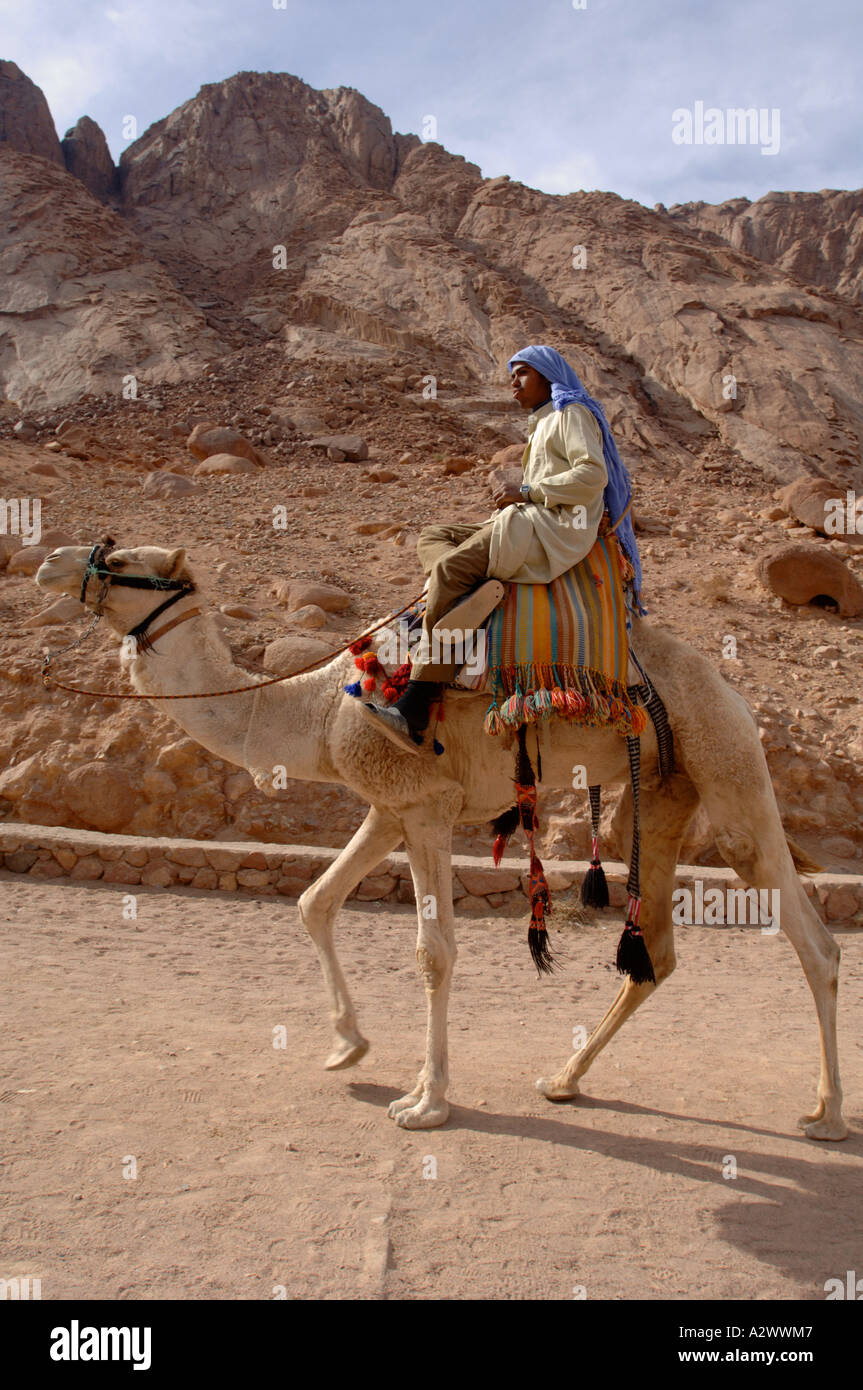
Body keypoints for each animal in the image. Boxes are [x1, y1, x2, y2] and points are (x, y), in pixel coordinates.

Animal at [35, 540, 848, 1139]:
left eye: (118, 557)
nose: (48, 562)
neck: (313, 710)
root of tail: (732, 692)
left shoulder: (425, 805)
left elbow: (433, 953)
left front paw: (425, 1102)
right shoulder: (389, 805)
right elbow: (313, 902)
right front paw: (346, 1045)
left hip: (726, 764)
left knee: (810, 936)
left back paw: (826, 1114)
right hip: (660, 793)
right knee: (659, 952)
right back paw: (563, 1079)